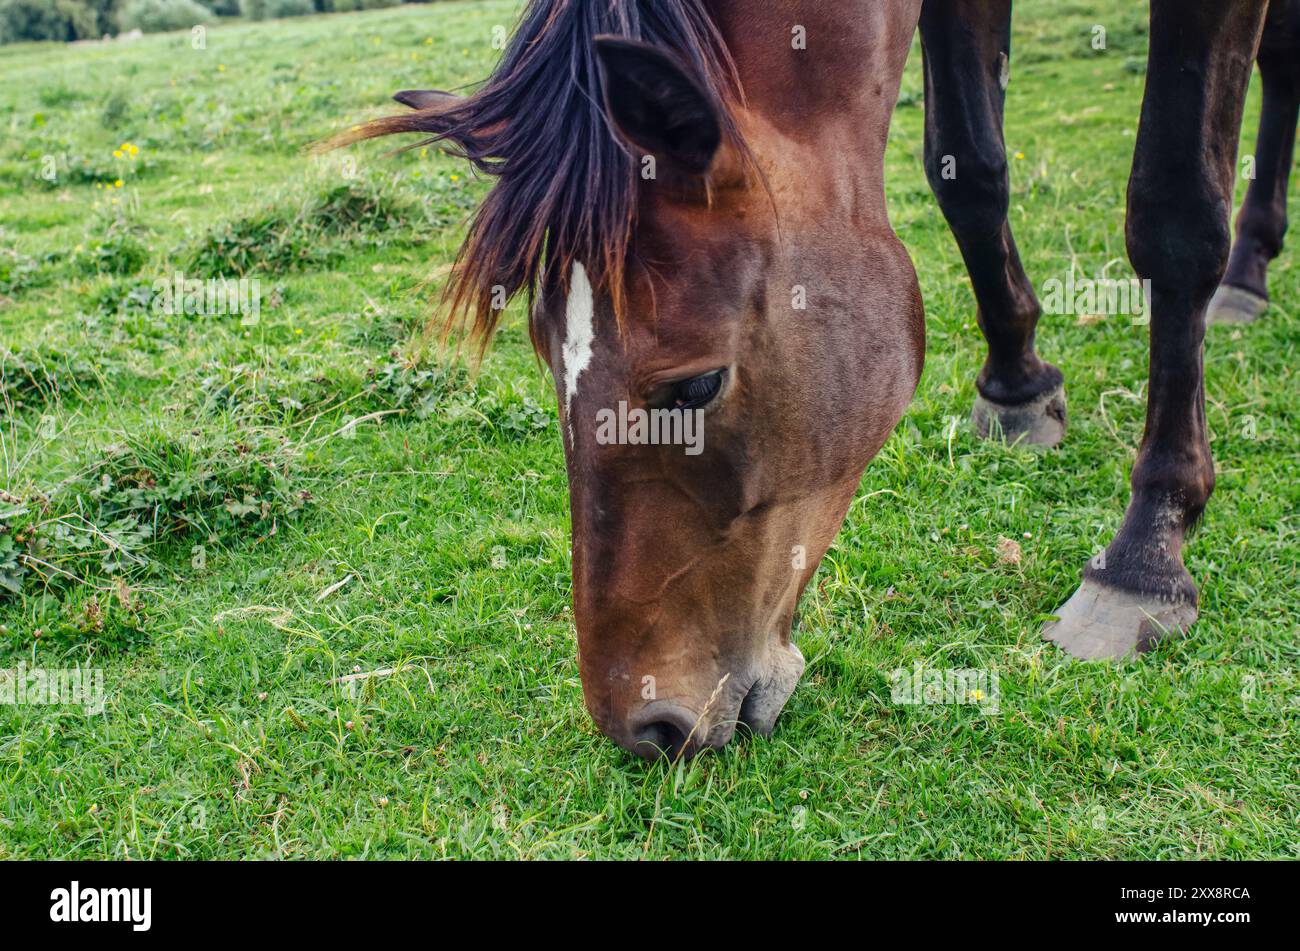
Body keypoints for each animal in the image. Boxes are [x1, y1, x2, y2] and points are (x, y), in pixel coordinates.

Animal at [331, 0, 1291, 760]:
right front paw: (1017, 386)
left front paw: (1146, 551)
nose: (641, 726)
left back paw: (1246, 272)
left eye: (696, 388)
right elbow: (969, 169)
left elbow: (1174, 213)